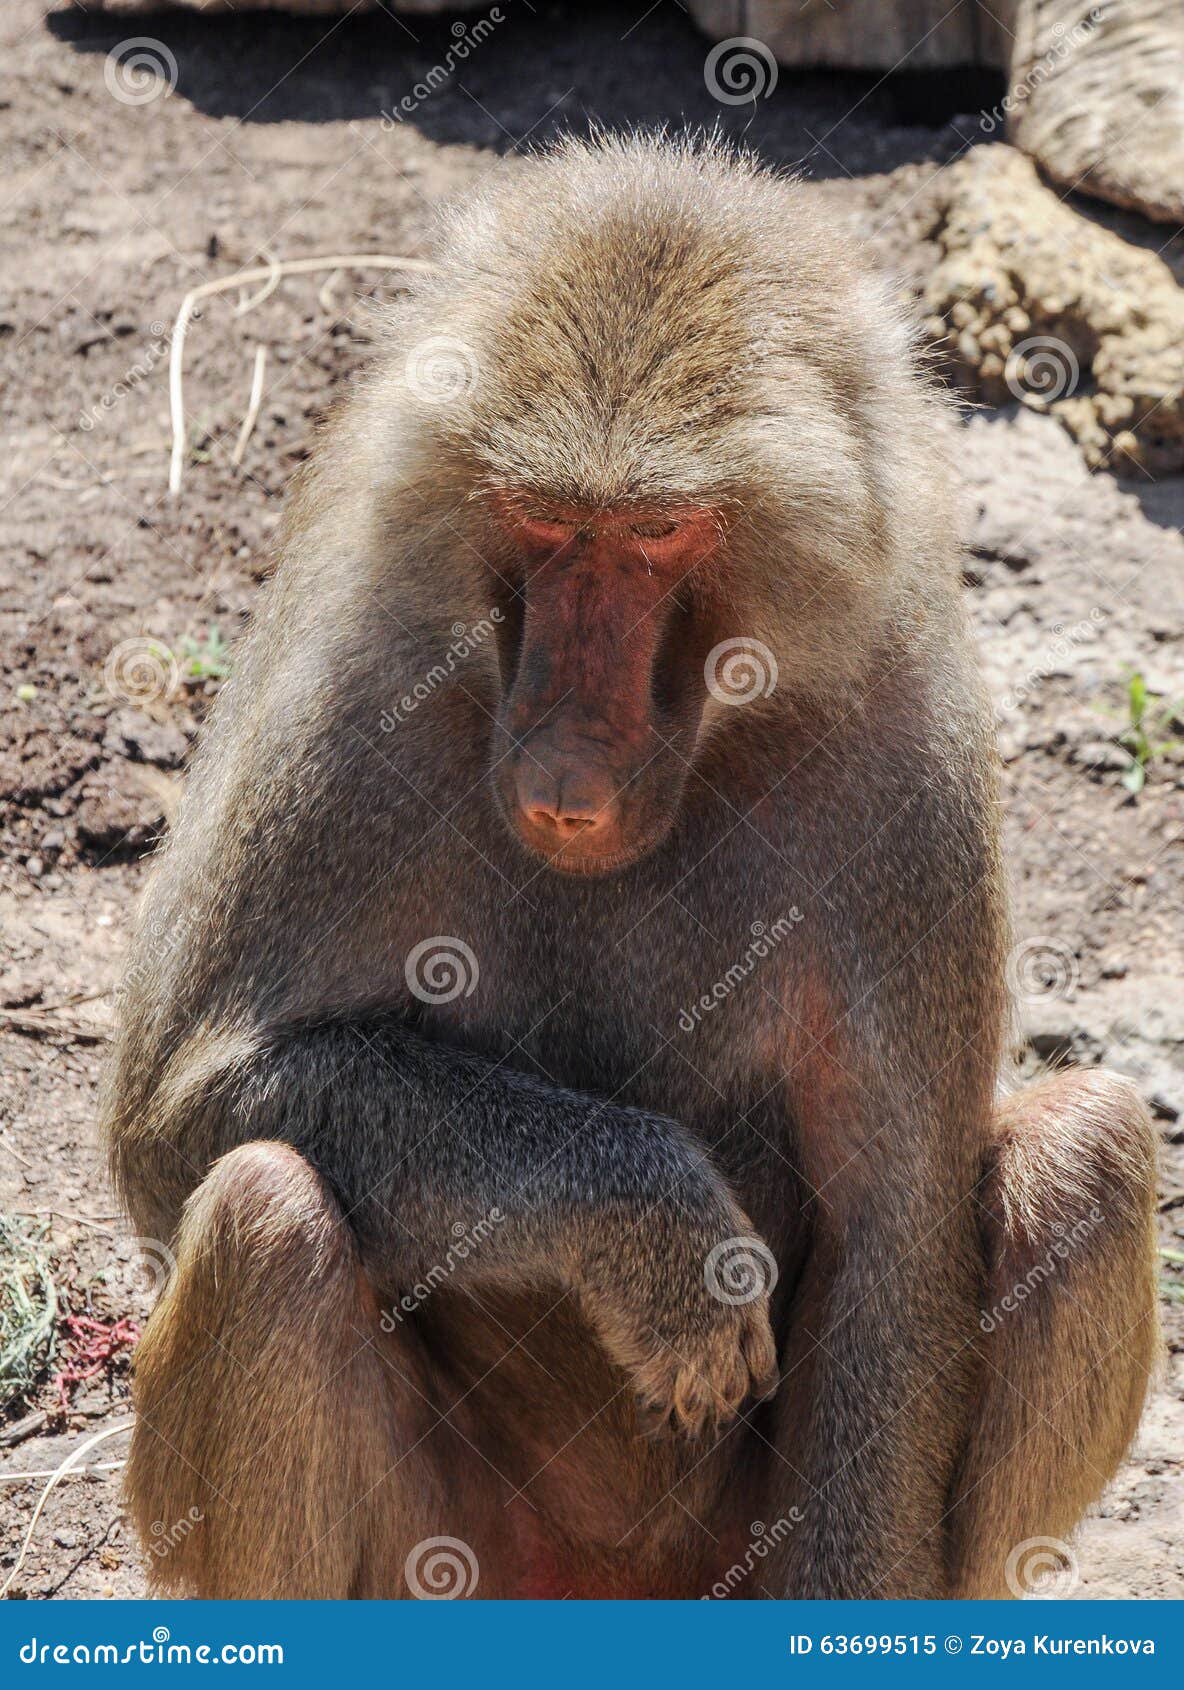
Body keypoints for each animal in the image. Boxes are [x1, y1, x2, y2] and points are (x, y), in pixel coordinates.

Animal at [103, 133, 1158, 1601]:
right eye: (543, 522)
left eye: (658, 534)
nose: (566, 761)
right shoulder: (349, 690)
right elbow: (173, 1118)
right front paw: (662, 1241)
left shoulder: (912, 759)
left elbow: (895, 1241)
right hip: (459, 1553)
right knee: (268, 1218)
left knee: (1087, 1150)